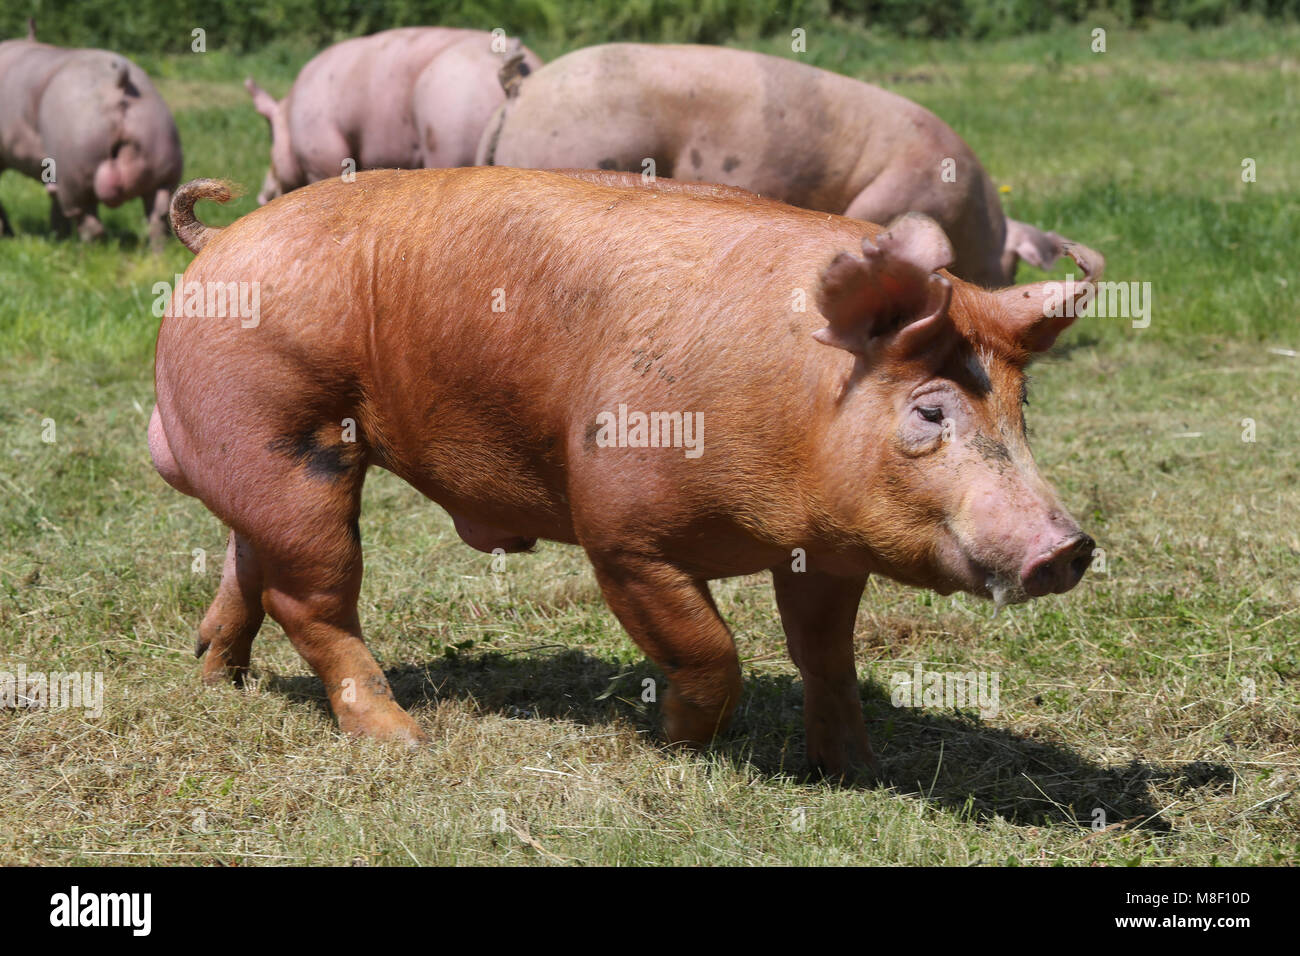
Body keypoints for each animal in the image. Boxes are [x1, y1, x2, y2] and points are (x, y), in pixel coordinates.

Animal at [0, 20, 182, 250]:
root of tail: (118, 82)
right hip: (163, 158)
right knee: (158, 217)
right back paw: (158, 253)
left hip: (75, 167)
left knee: (89, 222)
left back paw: (84, 251)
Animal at [154, 167, 1100, 778]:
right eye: (930, 413)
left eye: (1022, 407)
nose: (1069, 548)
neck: (791, 405)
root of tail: (220, 236)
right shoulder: (622, 532)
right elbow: (711, 650)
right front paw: (673, 742)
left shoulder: (829, 552)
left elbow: (826, 653)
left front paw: (857, 772)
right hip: (282, 434)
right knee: (309, 598)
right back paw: (404, 741)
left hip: (267, 455)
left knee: (249, 561)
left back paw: (213, 679)